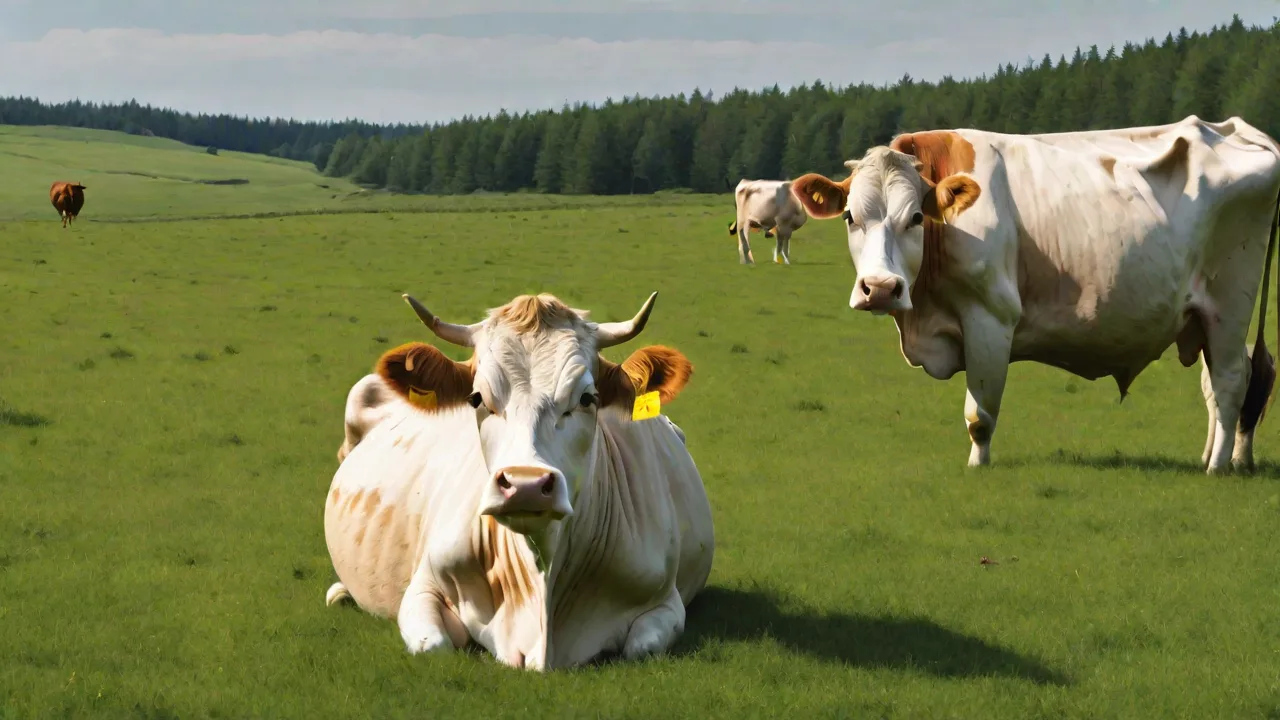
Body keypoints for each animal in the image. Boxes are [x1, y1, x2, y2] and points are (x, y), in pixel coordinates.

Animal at [322, 291, 715, 670]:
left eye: (588, 398)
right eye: (477, 398)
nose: (526, 485)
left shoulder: (665, 601)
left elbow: (640, 648)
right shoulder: (424, 584)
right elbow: (432, 646)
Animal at [786, 115, 1280, 474]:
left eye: (915, 218)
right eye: (850, 216)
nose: (882, 288)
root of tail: (1233, 127)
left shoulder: (990, 318)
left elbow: (979, 415)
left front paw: (978, 467)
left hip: (1230, 305)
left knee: (1232, 381)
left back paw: (1218, 468)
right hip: (1203, 315)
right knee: (1218, 386)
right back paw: (1216, 457)